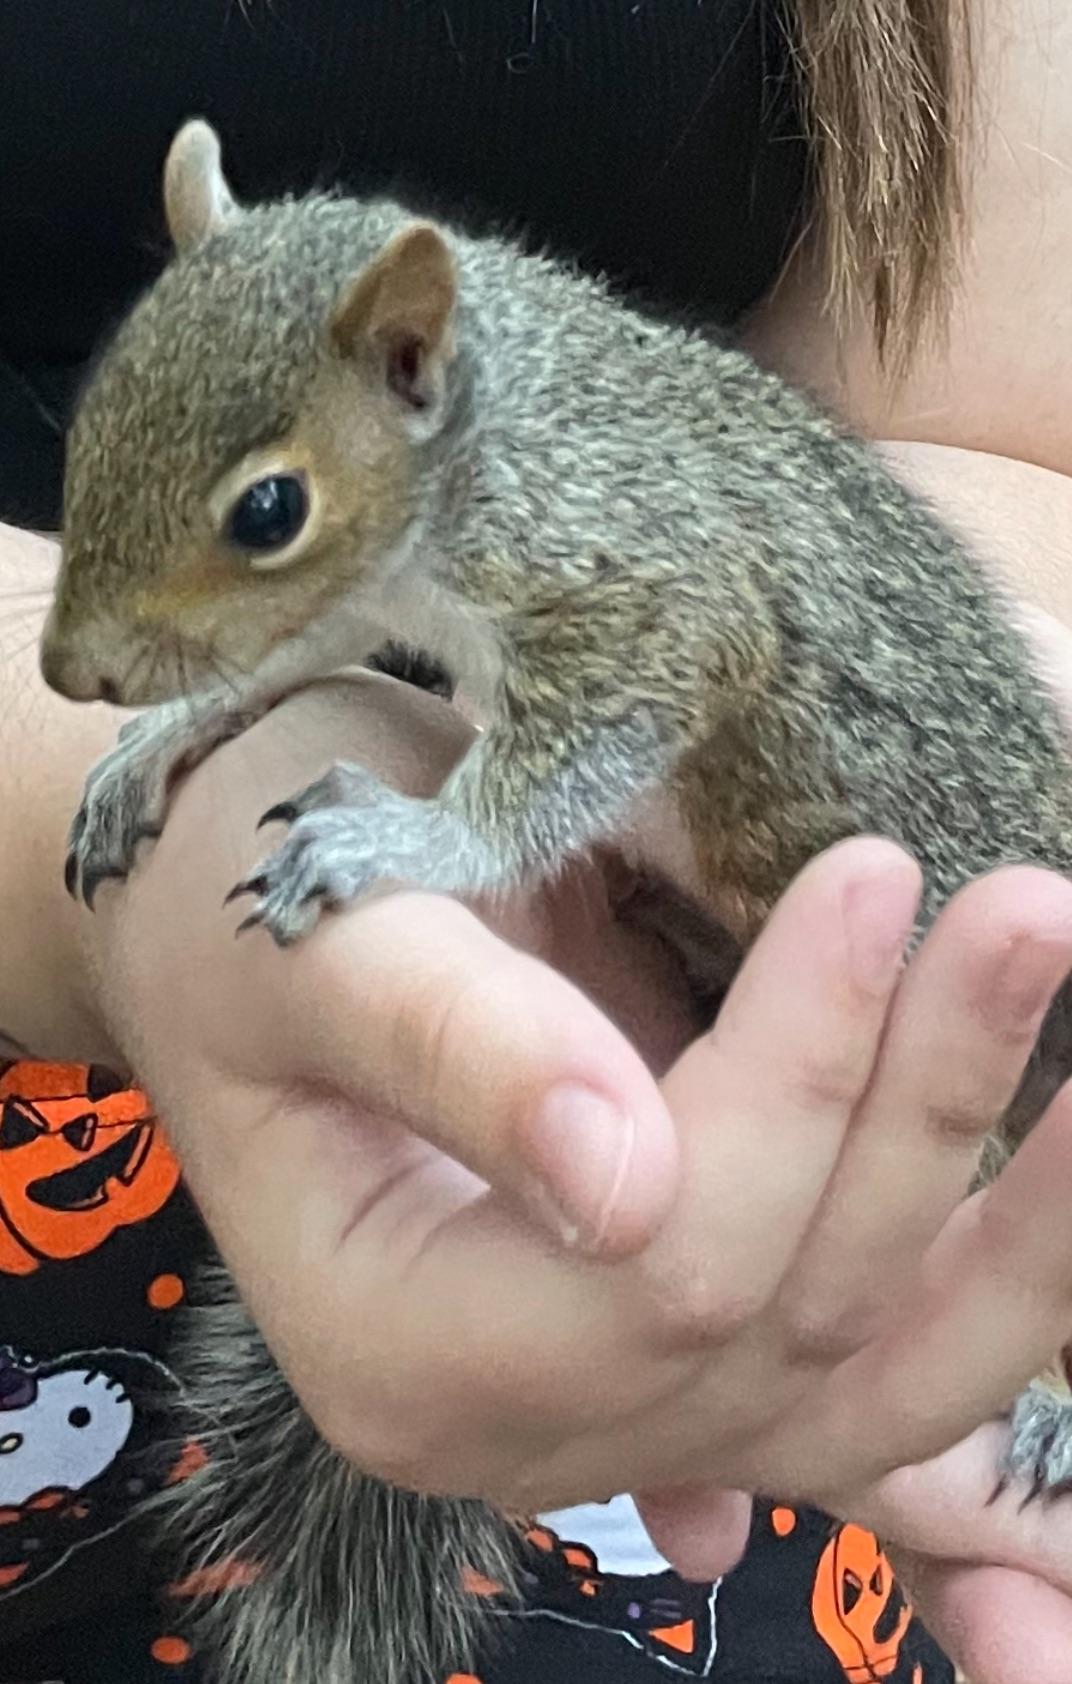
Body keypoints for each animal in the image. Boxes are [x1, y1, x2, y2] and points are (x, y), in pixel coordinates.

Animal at [39, 119, 1072, 1684]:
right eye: (98, 406)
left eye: (269, 508)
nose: (68, 669)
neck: (490, 438)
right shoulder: (378, 604)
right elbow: (297, 656)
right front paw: (159, 742)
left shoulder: (644, 605)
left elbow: (555, 772)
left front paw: (396, 838)